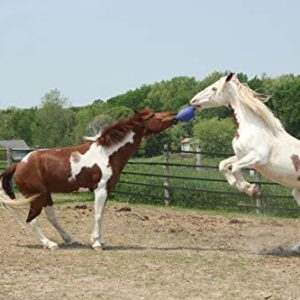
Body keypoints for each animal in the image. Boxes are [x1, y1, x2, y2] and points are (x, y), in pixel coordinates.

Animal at [0, 108, 176, 248]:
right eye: (153, 115)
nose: (174, 114)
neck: (107, 154)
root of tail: (19, 165)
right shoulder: (100, 189)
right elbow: (98, 215)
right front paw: (97, 243)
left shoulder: (107, 190)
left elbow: (101, 214)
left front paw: (100, 240)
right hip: (36, 197)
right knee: (32, 220)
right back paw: (50, 244)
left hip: (45, 195)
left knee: (52, 218)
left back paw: (69, 239)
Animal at [191, 73, 300, 253]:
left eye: (214, 88)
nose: (193, 101)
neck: (253, 128)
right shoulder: (240, 155)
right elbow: (223, 165)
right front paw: (244, 187)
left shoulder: (257, 158)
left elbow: (234, 167)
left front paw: (251, 189)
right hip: (297, 193)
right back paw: (296, 248)